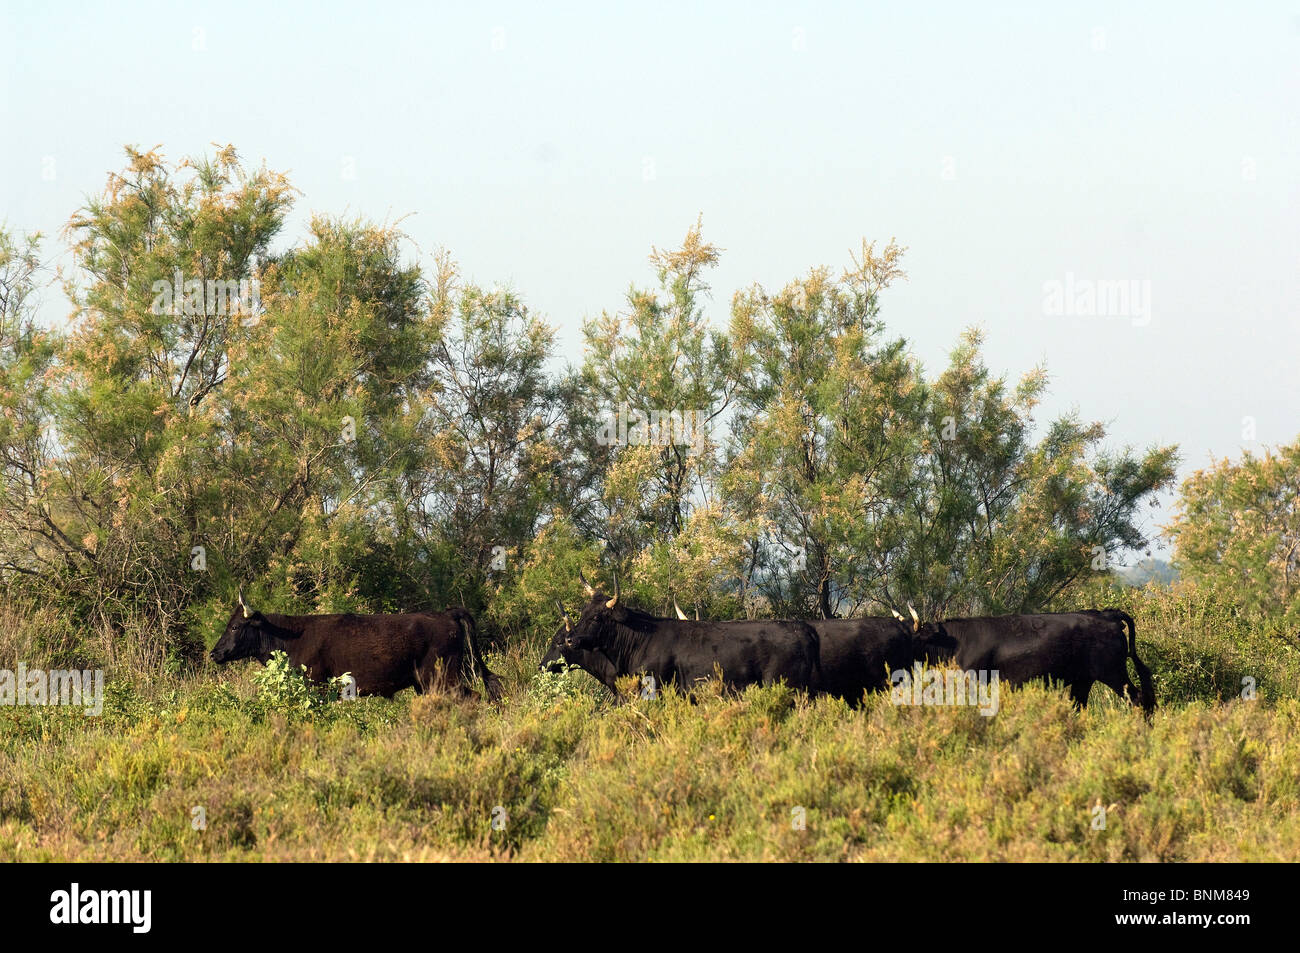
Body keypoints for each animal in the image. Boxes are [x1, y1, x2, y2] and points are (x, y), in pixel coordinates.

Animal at [211, 589, 503, 700]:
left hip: (443, 679)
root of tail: (446, 614)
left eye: (235, 626)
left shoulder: (316, 686)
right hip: (426, 684)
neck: (292, 635)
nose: (214, 653)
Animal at [911, 608, 1155, 714]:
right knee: (1078, 705)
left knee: (1139, 699)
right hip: (1083, 680)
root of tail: (1106, 615)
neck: (956, 641)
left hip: (1113, 673)